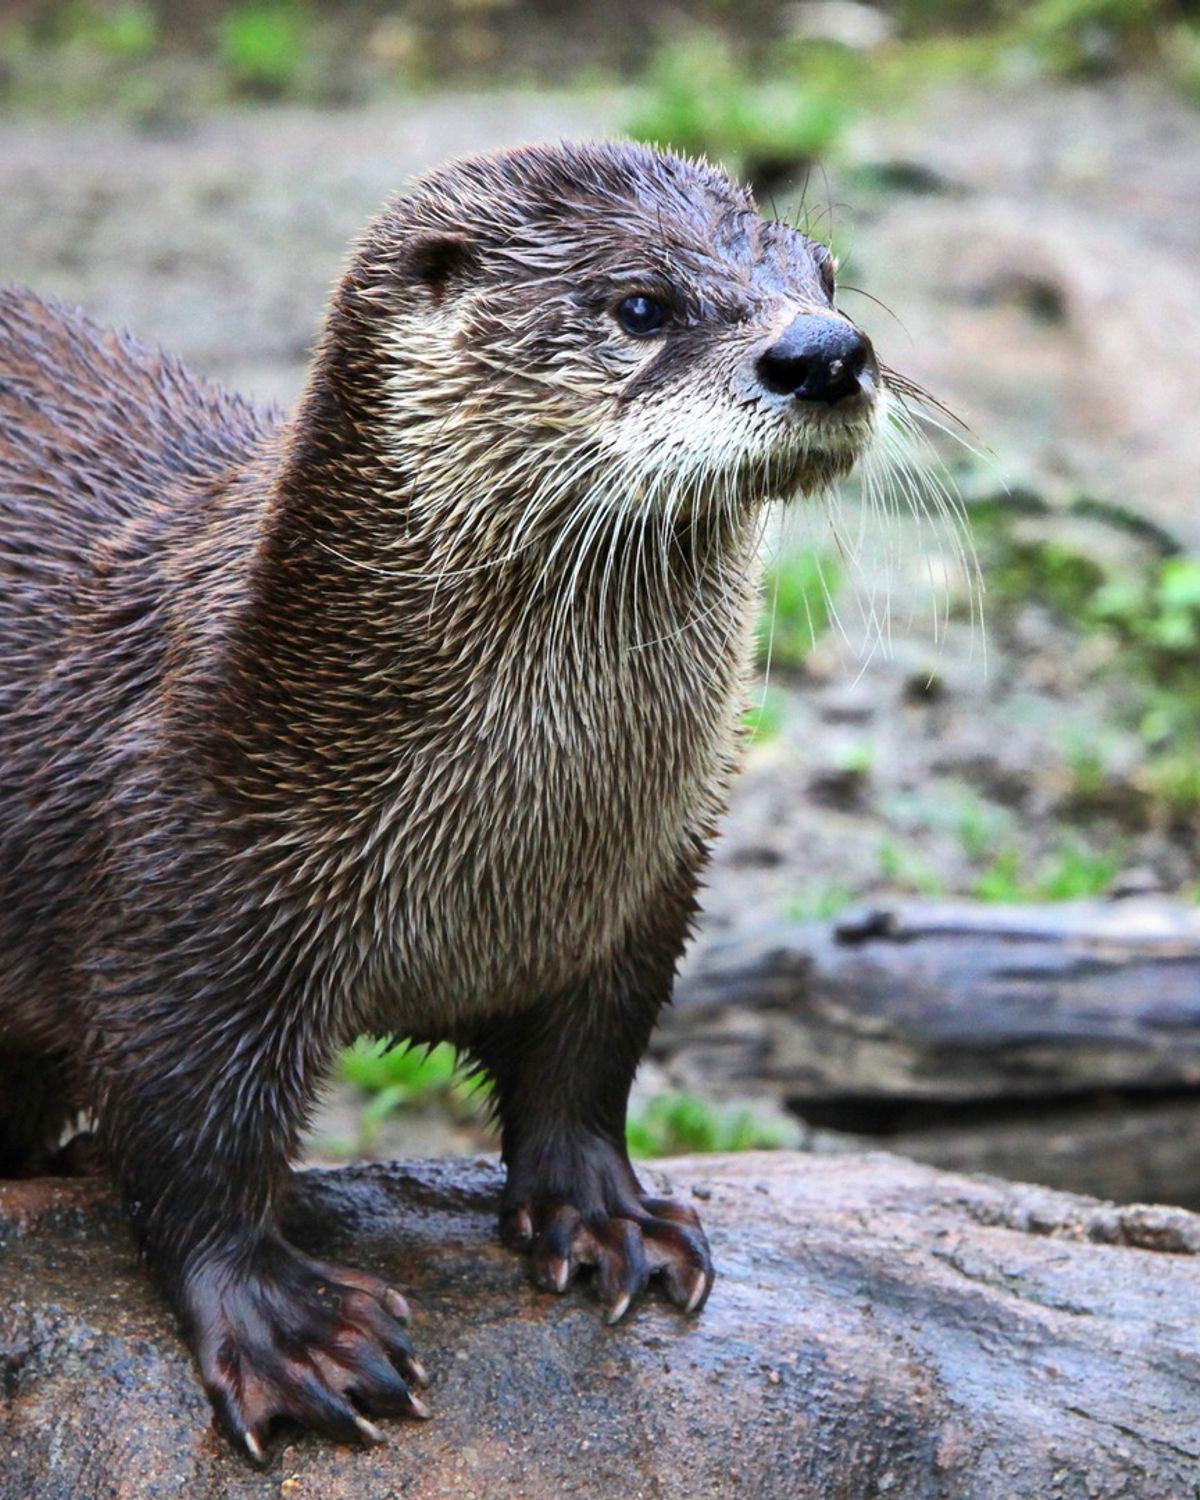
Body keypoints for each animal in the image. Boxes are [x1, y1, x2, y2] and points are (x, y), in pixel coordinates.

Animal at [0, 140, 882, 1459]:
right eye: (640, 305)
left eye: (824, 275)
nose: (825, 352)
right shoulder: (174, 882)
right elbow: (184, 1137)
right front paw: (287, 1327)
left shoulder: (644, 893)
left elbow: (588, 1066)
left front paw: (604, 1214)